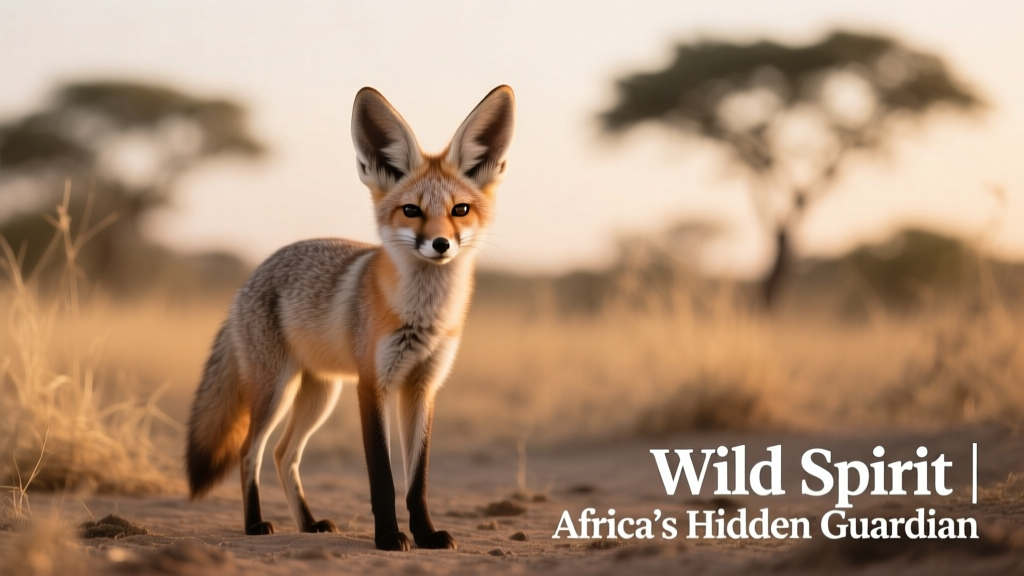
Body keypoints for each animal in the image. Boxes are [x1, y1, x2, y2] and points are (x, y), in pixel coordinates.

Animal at [185, 85, 515, 551]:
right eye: (411, 211)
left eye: (461, 210)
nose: (440, 244)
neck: (421, 316)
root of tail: (250, 278)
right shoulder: (372, 383)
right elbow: (383, 479)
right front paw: (389, 537)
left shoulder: (422, 387)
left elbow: (418, 481)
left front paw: (426, 534)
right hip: (276, 391)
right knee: (250, 452)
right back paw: (255, 524)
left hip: (319, 395)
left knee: (284, 454)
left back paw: (309, 524)